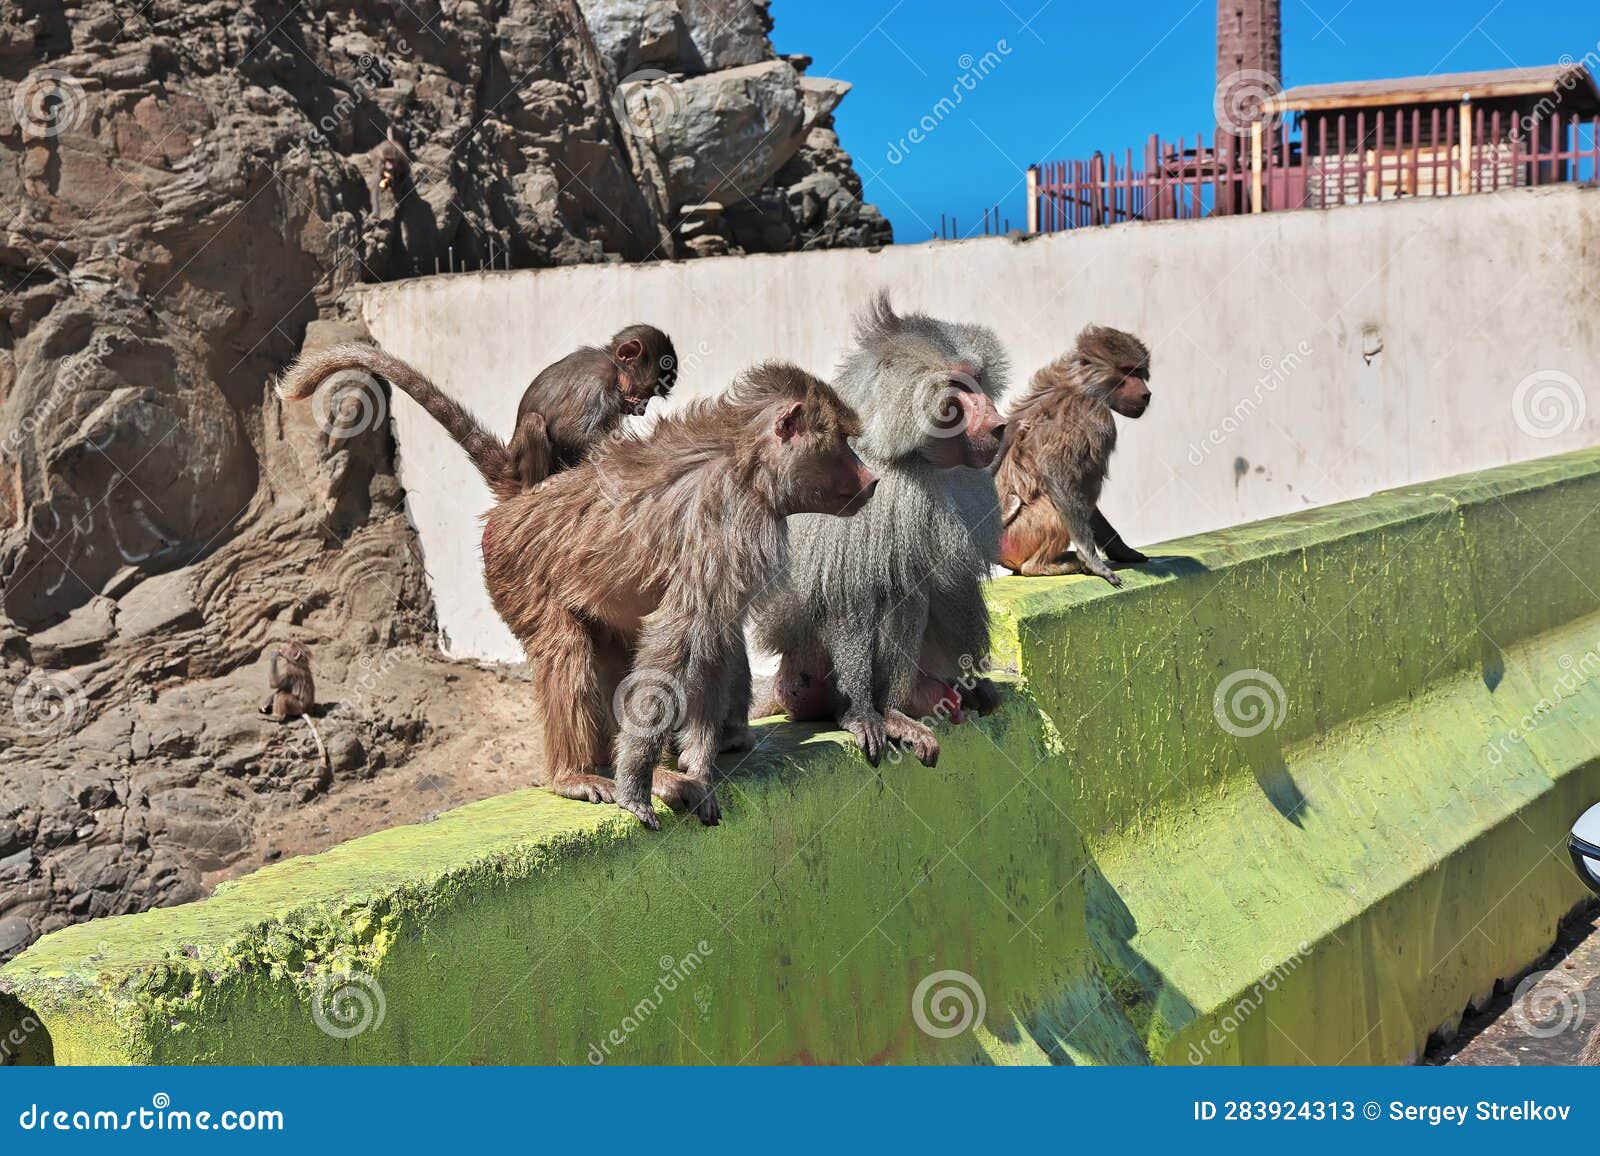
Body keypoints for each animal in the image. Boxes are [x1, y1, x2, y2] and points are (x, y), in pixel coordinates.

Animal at [277, 344, 876, 828]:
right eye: (842, 443)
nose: (871, 479)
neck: (747, 464)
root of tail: (520, 500)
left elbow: (711, 641)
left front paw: (699, 763)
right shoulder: (733, 530)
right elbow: (681, 636)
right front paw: (638, 783)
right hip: (515, 572)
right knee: (566, 648)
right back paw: (578, 774)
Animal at [506, 325, 679, 489]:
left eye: (651, 396)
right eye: (646, 392)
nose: (642, 410)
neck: (615, 370)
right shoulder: (595, 381)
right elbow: (566, 430)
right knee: (533, 420)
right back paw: (533, 485)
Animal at [756, 294, 1009, 769]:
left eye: (978, 380)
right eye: (958, 389)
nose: (999, 424)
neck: (914, 457)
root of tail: (783, 677)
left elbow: (958, 579)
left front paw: (975, 684)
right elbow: (845, 593)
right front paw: (863, 716)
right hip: (810, 672)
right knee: (901, 585)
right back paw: (892, 713)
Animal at [993, 325, 1153, 585]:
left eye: (1140, 372)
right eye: (1126, 370)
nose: (1146, 394)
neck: (1078, 385)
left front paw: (1123, 552)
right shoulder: (1091, 413)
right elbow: (1055, 470)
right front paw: (1093, 560)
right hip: (1018, 537)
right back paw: (1044, 566)